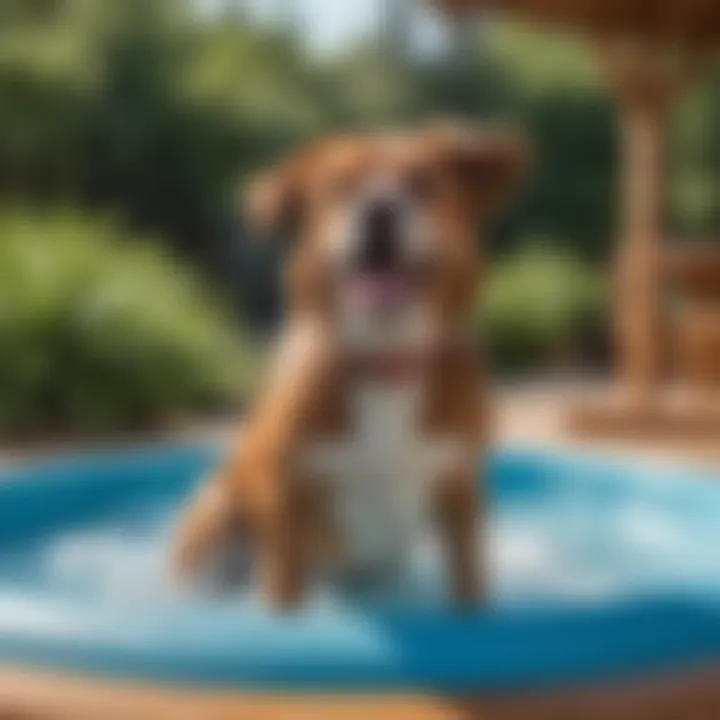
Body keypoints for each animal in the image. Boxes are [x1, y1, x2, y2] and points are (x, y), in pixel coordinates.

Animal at [172, 122, 524, 608]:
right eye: (341, 187)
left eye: (423, 184)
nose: (379, 209)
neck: (384, 362)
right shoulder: (290, 505)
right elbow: (284, 595)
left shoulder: (459, 490)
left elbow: (469, 582)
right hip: (216, 511)